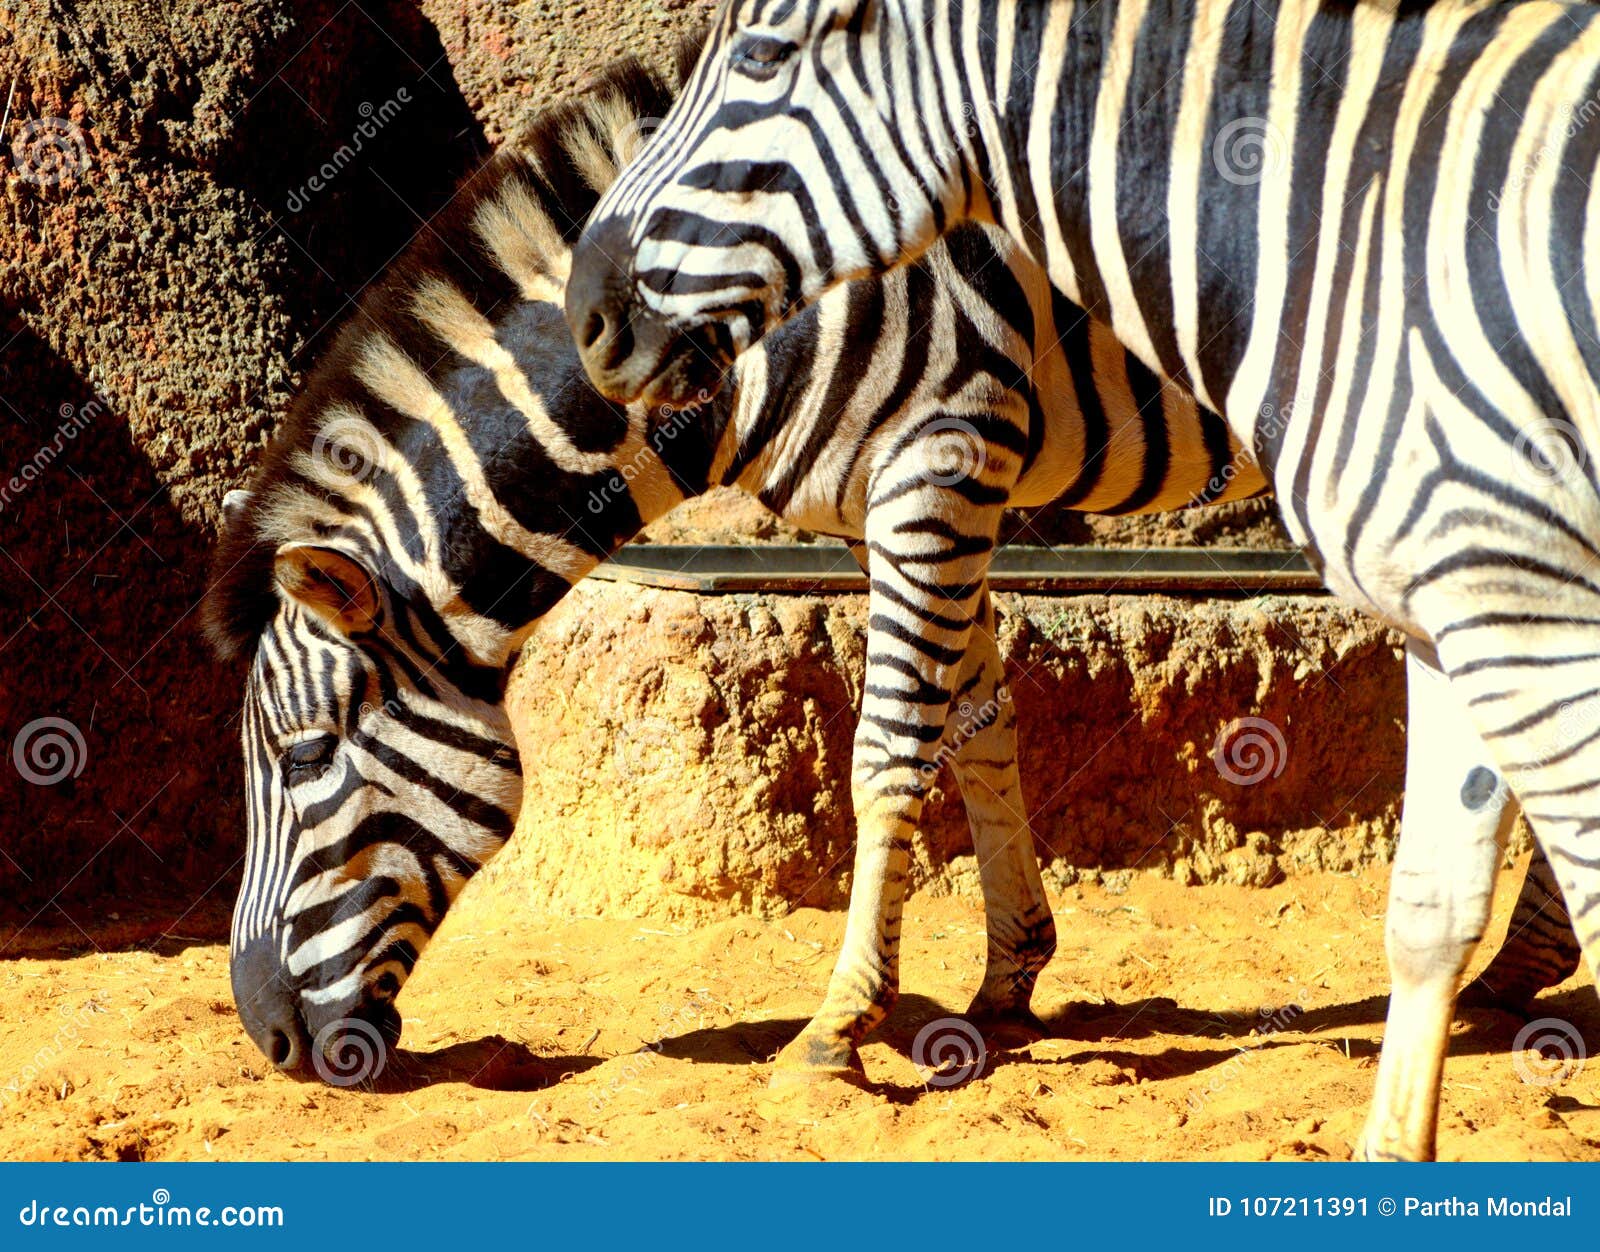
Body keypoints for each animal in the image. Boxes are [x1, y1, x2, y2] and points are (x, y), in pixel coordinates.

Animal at [566, 0, 1600, 1158]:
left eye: (758, 57)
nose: (588, 316)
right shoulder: (895, 516)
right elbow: (978, 722)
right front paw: (1005, 978)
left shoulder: (940, 459)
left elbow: (890, 747)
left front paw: (839, 1026)